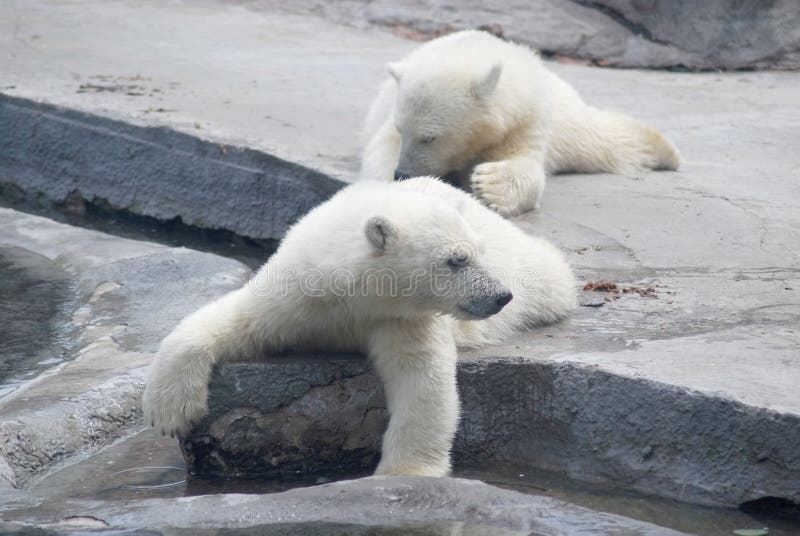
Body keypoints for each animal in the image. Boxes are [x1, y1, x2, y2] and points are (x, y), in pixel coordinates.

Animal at [143, 176, 576, 477]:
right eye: (456, 260)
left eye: (478, 254)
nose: (501, 296)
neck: (352, 291)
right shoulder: (296, 293)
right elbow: (235, 320)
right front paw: (171, 412)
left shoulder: (400, 317)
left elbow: (422, 381)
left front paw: (403, 473)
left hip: (527, 269)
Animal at [360, 30, 681, 216]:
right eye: (402, 130)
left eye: (430, 137)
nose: (402, 172)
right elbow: (381, 147)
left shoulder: (525, 119)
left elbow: (524, 165)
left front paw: (488, 183)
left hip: (564, 120)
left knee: (597, 141)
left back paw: (664, 150)